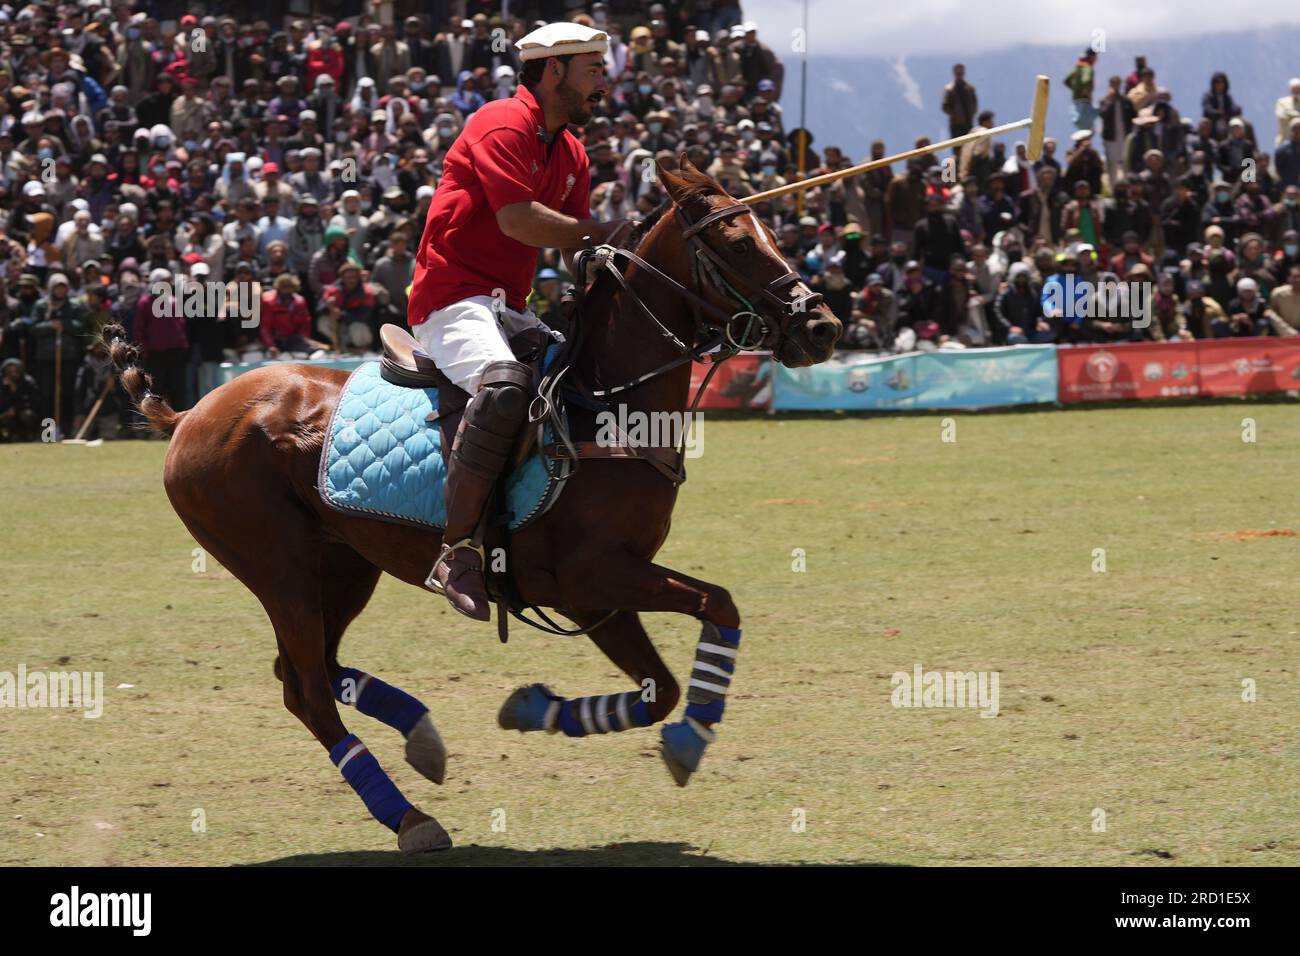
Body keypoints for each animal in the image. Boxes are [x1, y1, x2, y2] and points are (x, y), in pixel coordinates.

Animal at [102, 157, 841, 852]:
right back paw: (411, 818)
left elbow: (663, 686)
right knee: (308, 688)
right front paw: (691, 741)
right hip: (275, 565)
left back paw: (422, 737)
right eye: (737, 240)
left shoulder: (596, 594)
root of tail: (193, 410)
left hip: (343, 564)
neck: (606, 404)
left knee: (306, 671)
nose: (824, 327)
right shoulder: (591, 576)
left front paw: (533, 708)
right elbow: (718, 605)